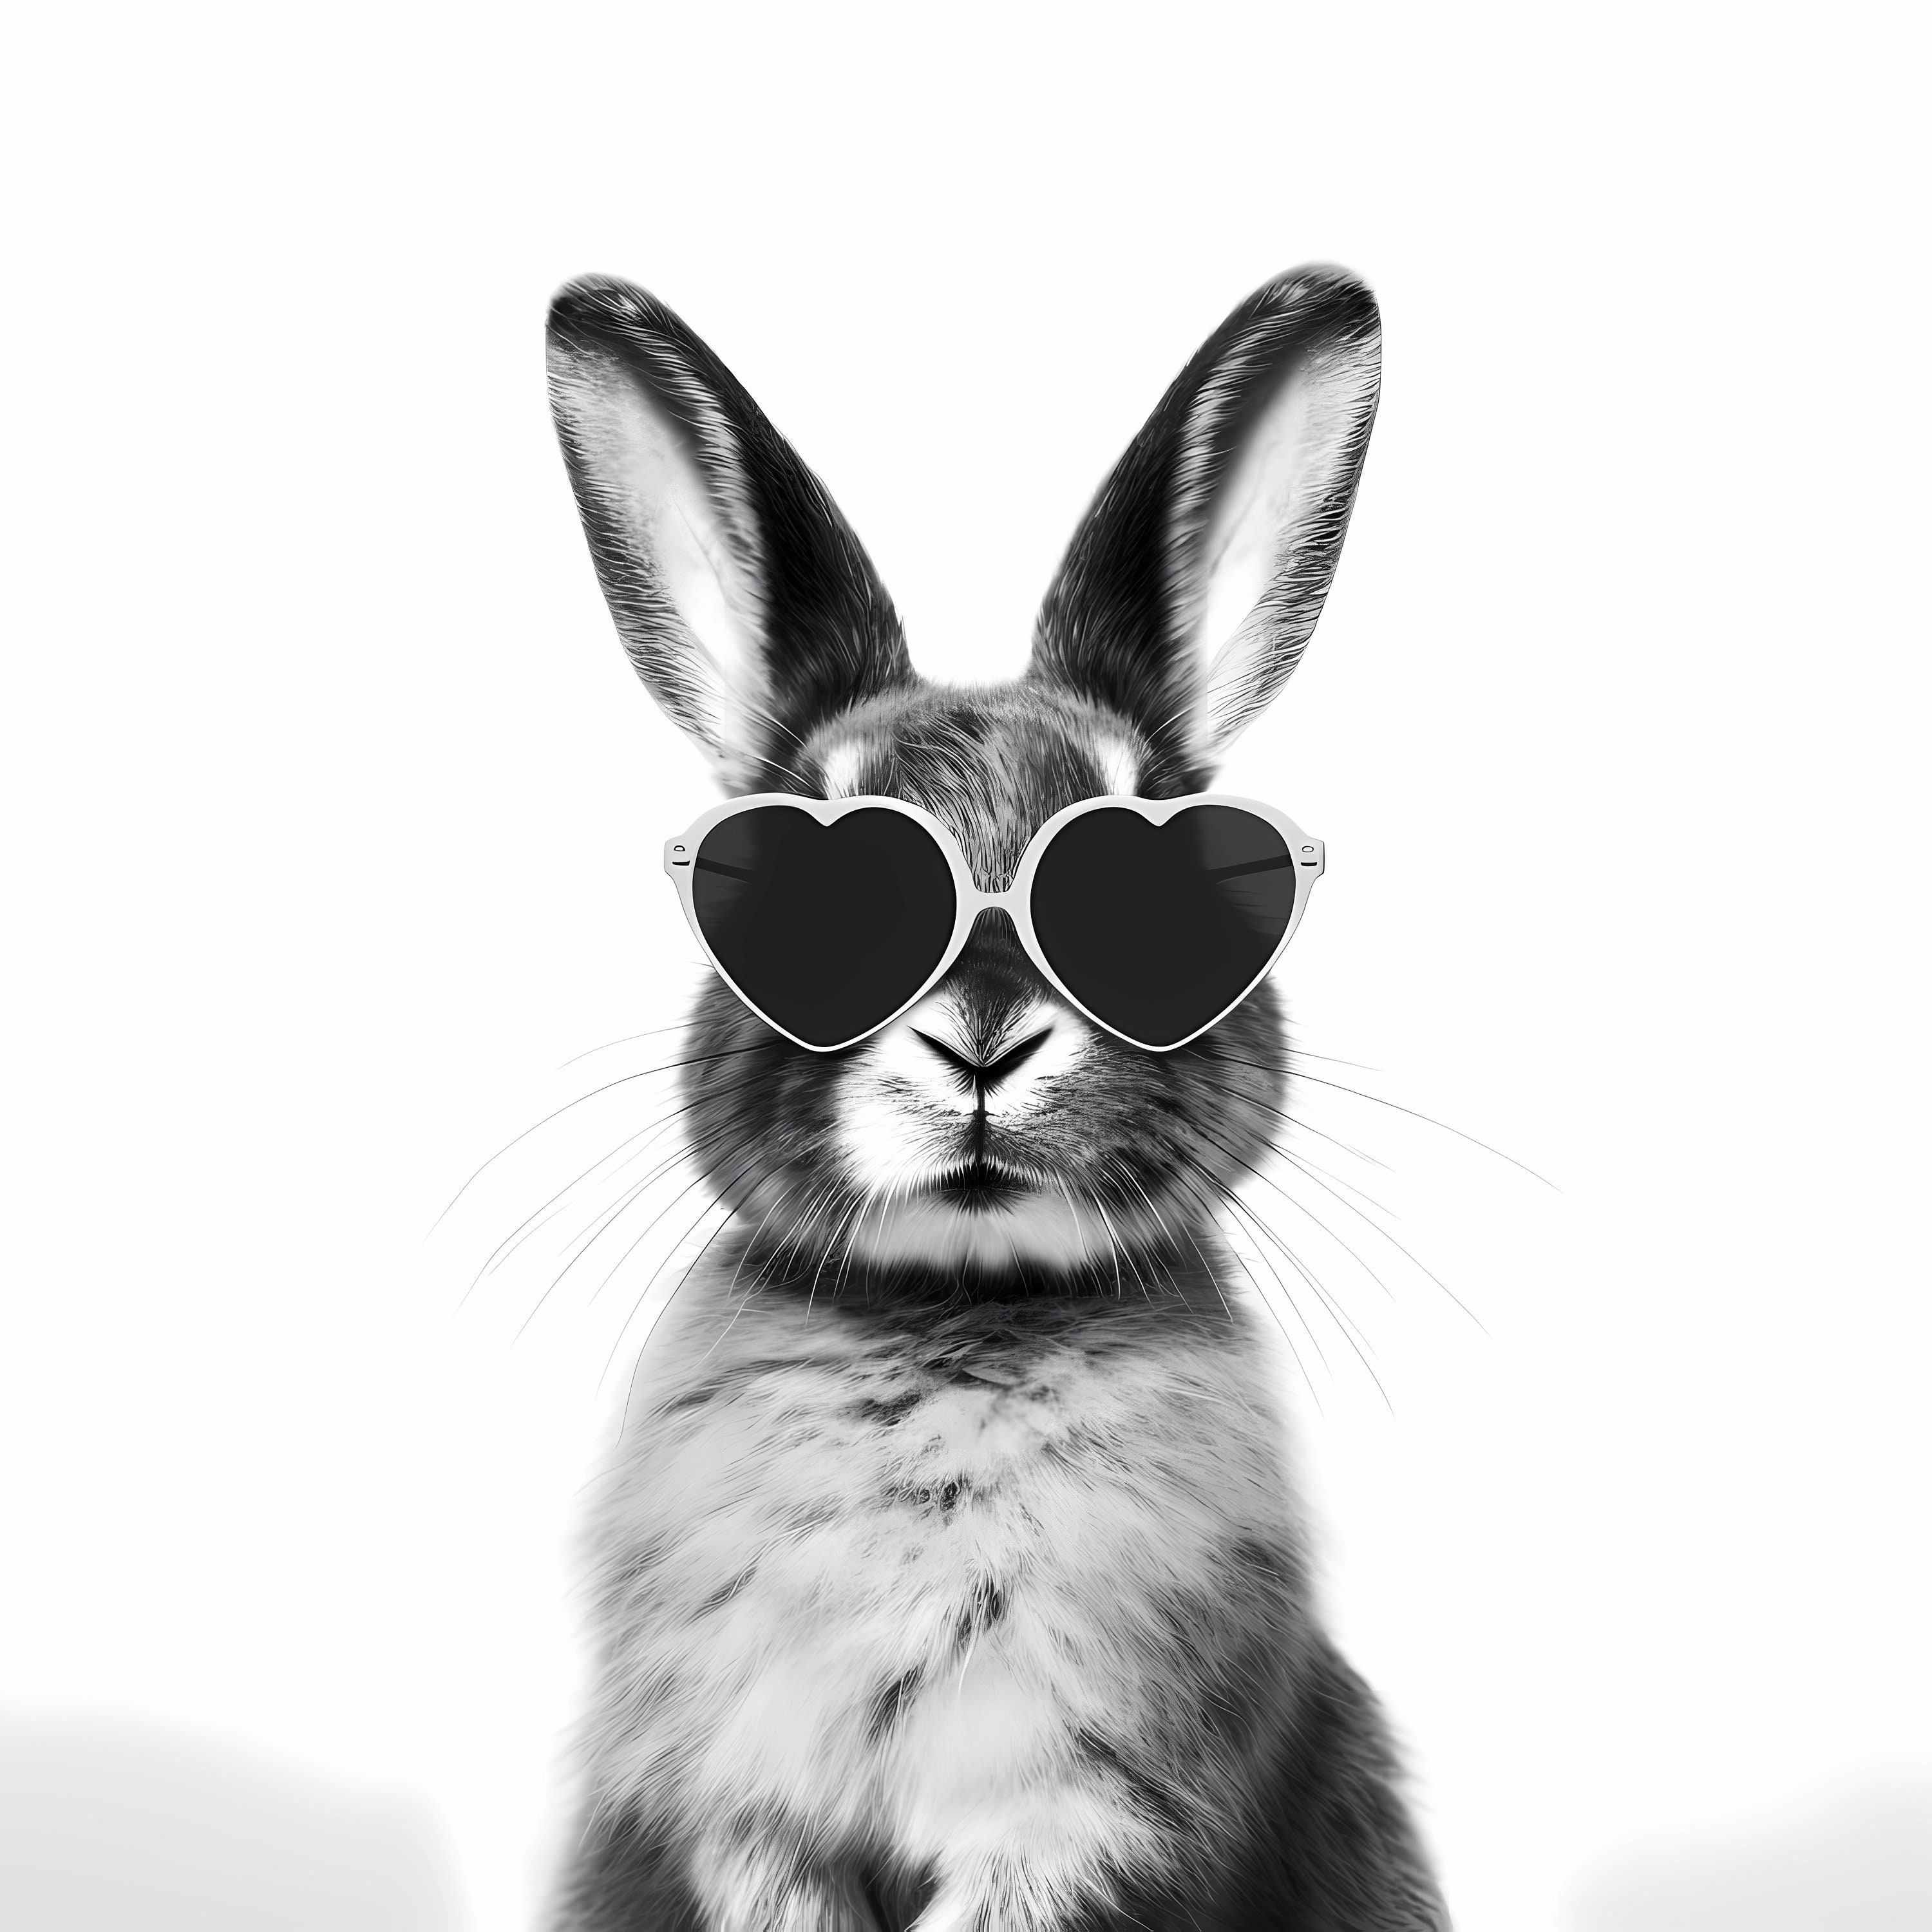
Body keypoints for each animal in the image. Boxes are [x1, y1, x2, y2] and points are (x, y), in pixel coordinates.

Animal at [541, 266, 1447, 1932]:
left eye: (1158, 884)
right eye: (801, 892)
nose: (979, 1039)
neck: (959, 1309)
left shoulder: (1093, 1806)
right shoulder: (749, 1804)